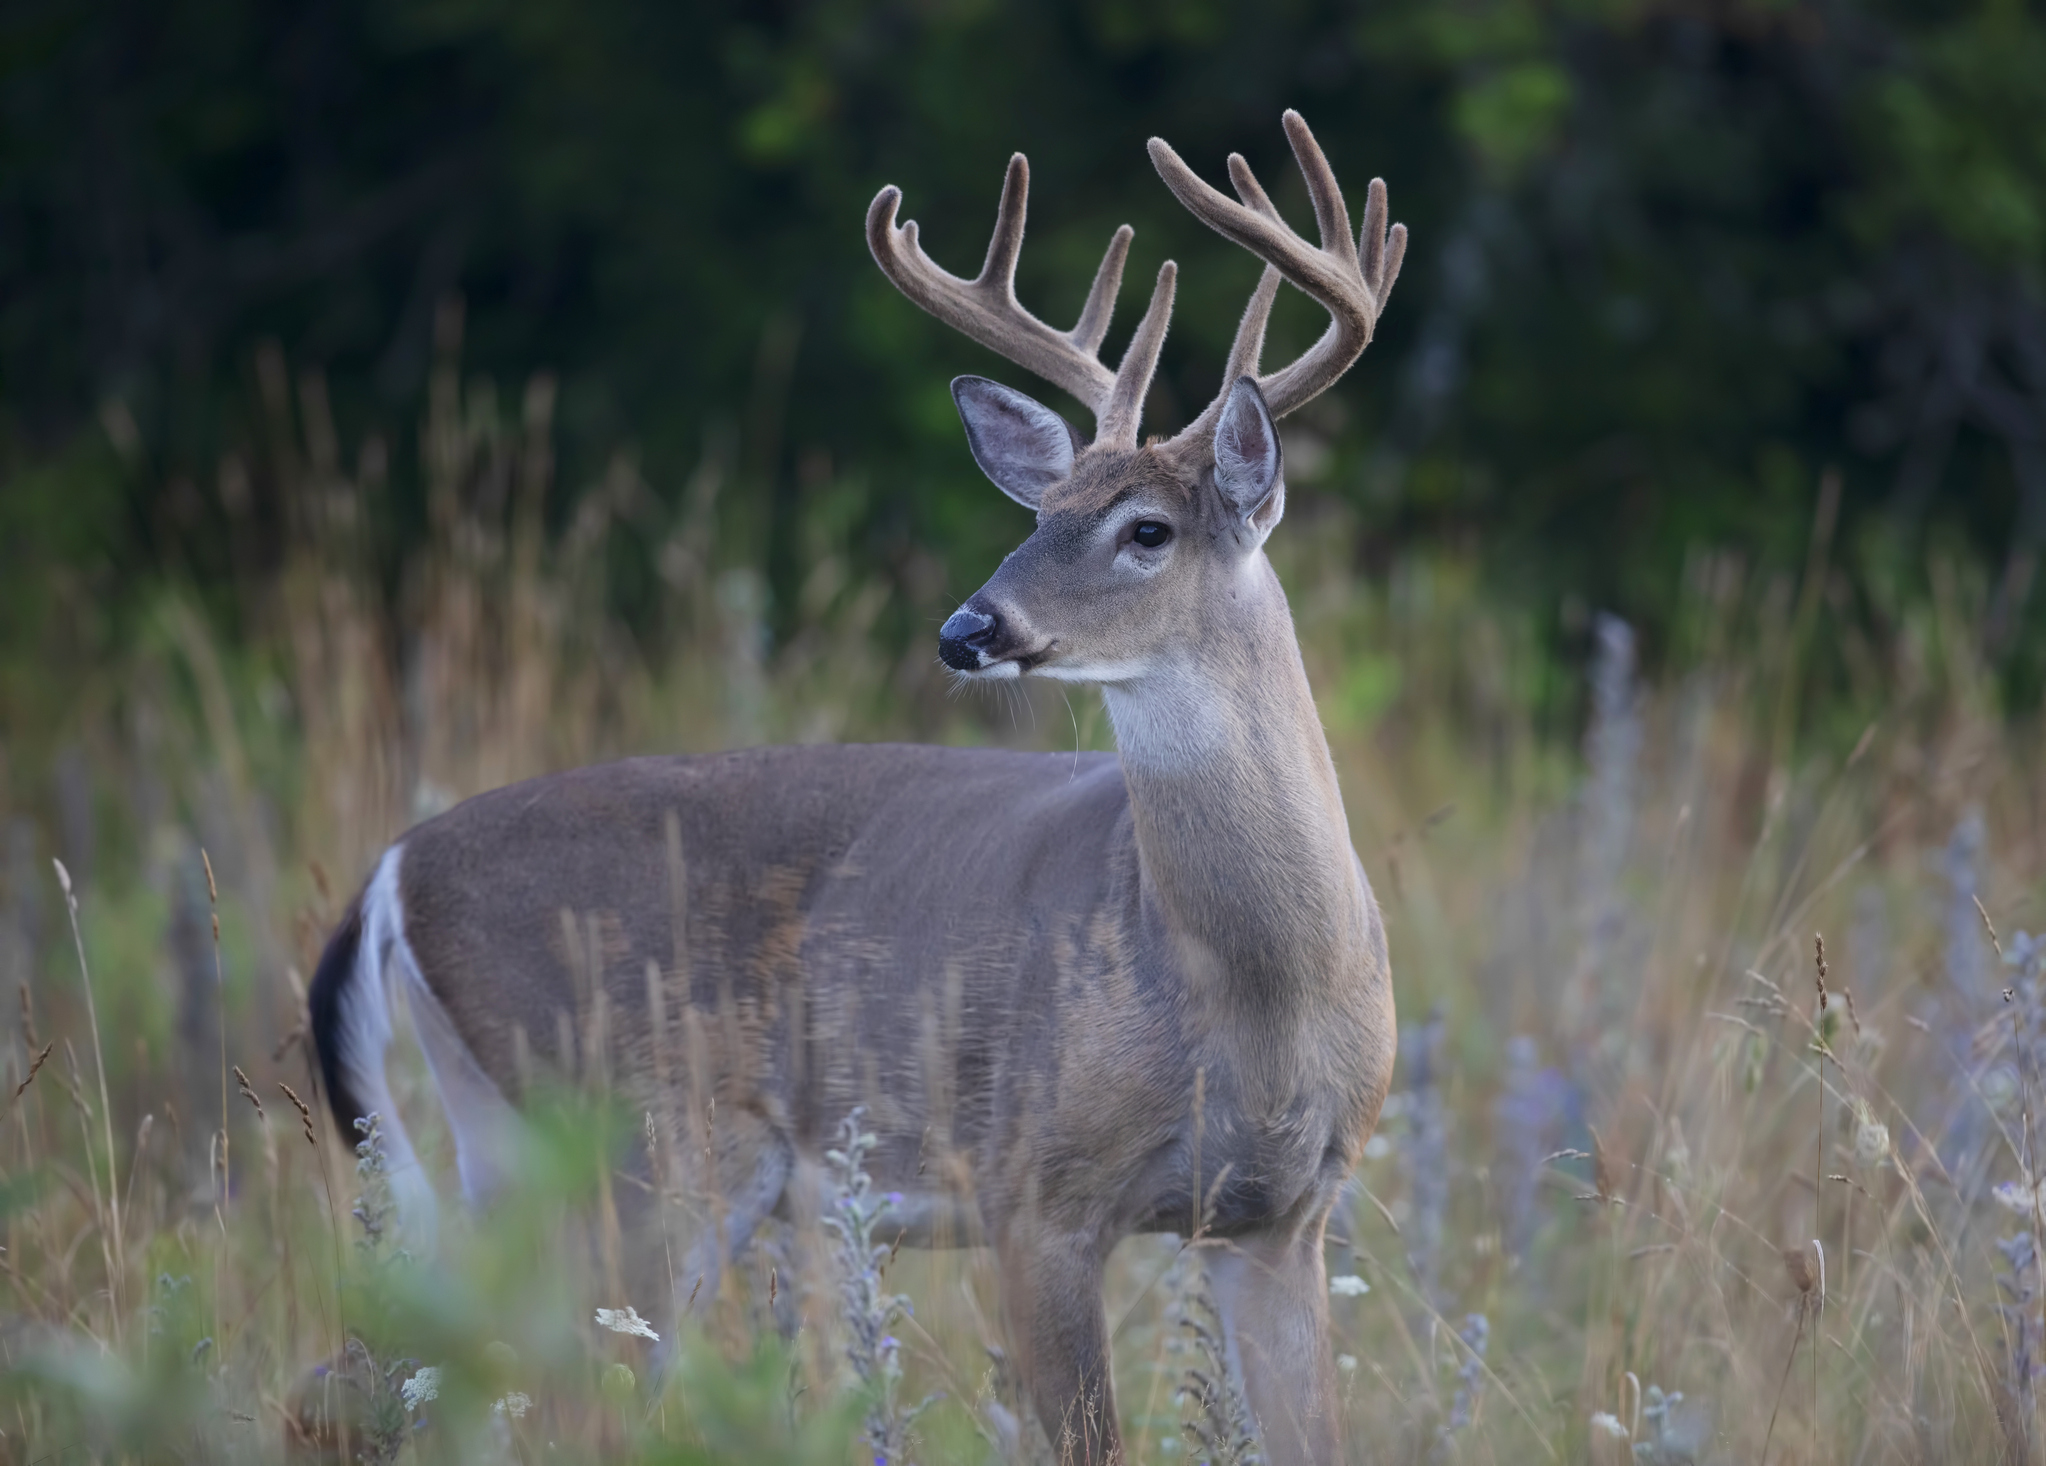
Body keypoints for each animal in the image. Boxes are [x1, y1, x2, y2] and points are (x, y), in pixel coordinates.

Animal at [308, 110, 1405, 1464]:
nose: (966, 629)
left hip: (508, 1143)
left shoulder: (1281, 1213)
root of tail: (391, 869)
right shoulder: (1032, 1187)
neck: (1250, 987)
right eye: (1037, 512)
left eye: (1146, 528)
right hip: (637, 1146)